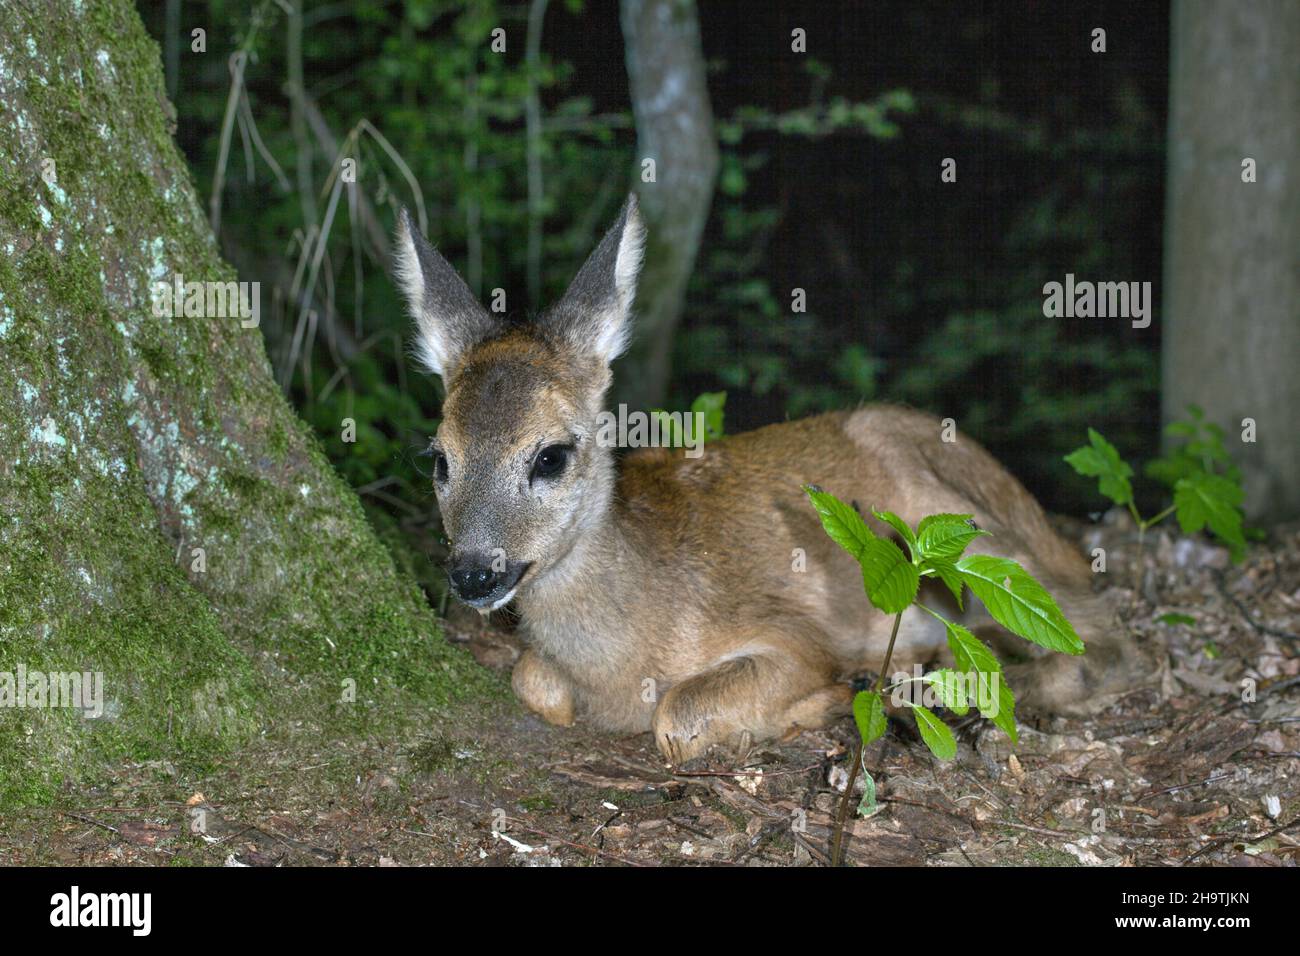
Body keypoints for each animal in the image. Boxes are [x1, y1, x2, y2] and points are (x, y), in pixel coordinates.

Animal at [394, 194, 1149, 764]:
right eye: (439, 459)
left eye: (550, 456)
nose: (473, 573)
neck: (629, 654)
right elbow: (531, 678)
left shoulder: (790, 628)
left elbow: (679, 712)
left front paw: (829, 698)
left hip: (974, 532)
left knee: (1103, 640)